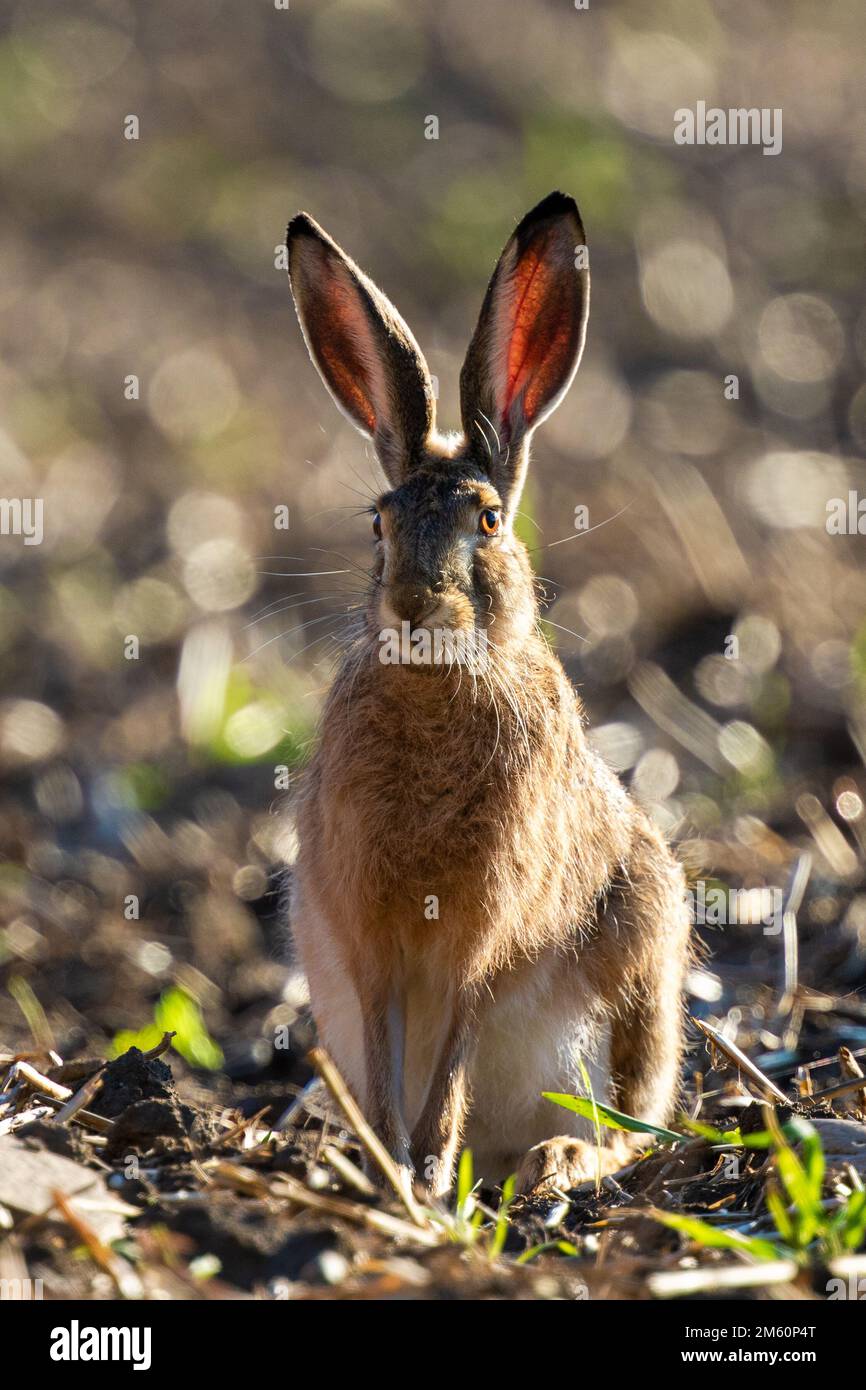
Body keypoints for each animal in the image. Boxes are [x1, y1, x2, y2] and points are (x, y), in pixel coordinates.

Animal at [285, 191, 691, 1198]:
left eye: (491, 520)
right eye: (380, 522)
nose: (416, 600)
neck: (438, 681)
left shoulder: (488, 928)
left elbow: (464, 1023)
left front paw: (427, 1163)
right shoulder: (366, 938)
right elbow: (387, 1034)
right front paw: (394, 1160)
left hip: (642, 976)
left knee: (634, 1128)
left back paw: (556, 1160)